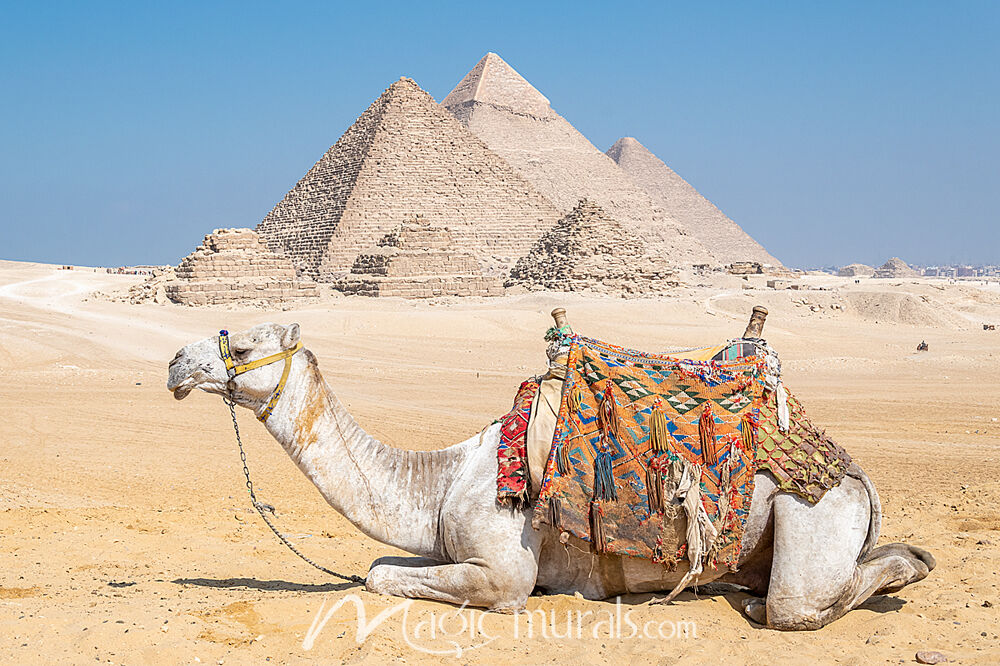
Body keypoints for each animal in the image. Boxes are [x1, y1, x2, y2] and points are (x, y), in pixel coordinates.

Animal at [166, 318, 934, 630]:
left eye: (242, 343)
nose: (176, 362)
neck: (440, 479)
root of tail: (854, 474)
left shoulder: (505, 572)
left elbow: (384, 579)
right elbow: (379, 566)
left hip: (813, 512)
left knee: (796, 605)